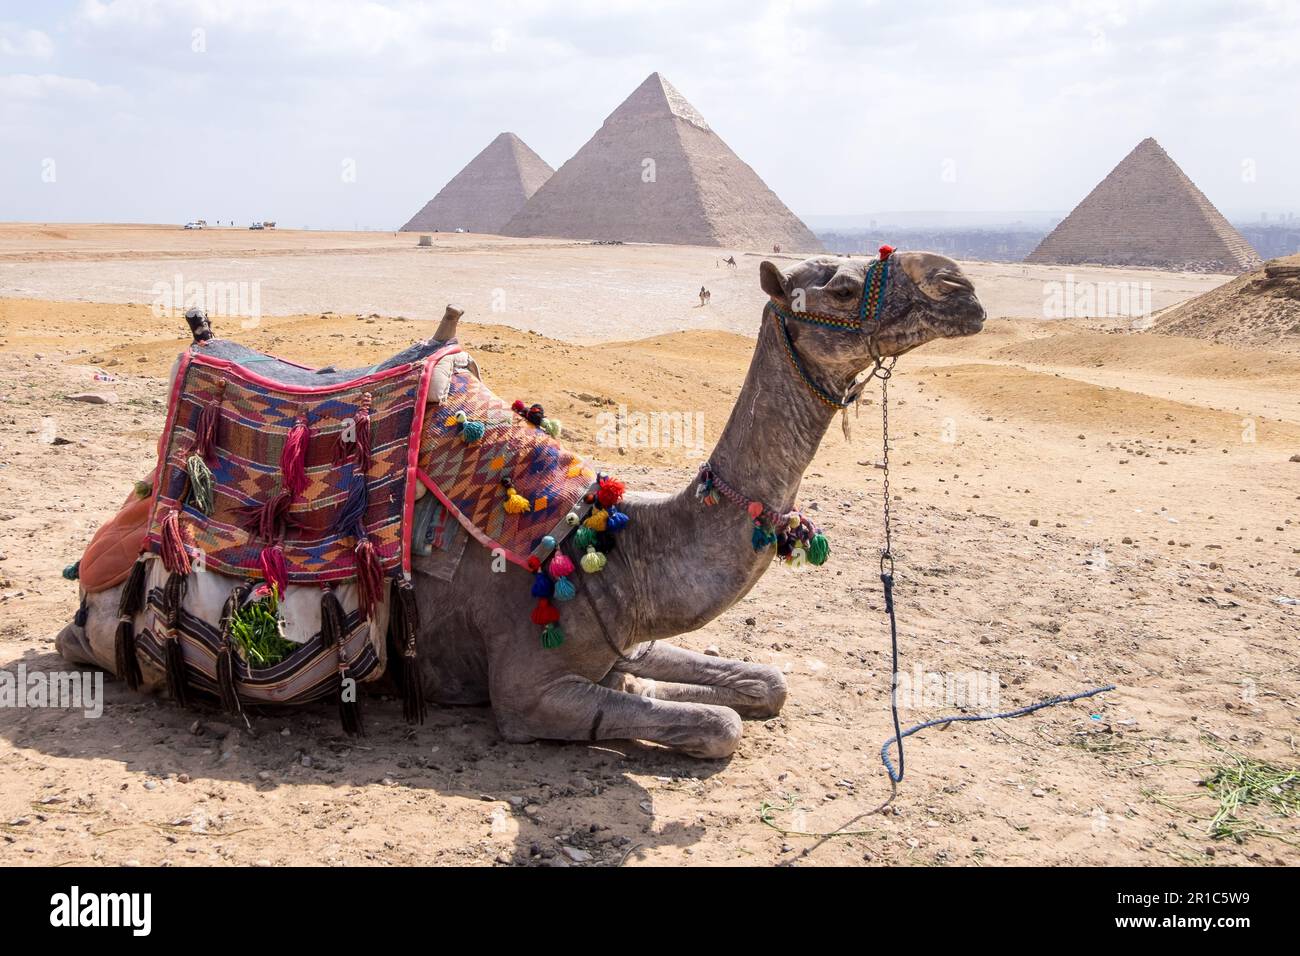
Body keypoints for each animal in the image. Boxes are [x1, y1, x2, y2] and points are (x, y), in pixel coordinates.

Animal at [58, 252, 984, 758]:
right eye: (838, 286)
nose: (962, 286)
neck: (609, 541)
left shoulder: (618, 639)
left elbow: (763, 681)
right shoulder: (526, 693)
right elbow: (718, 723)